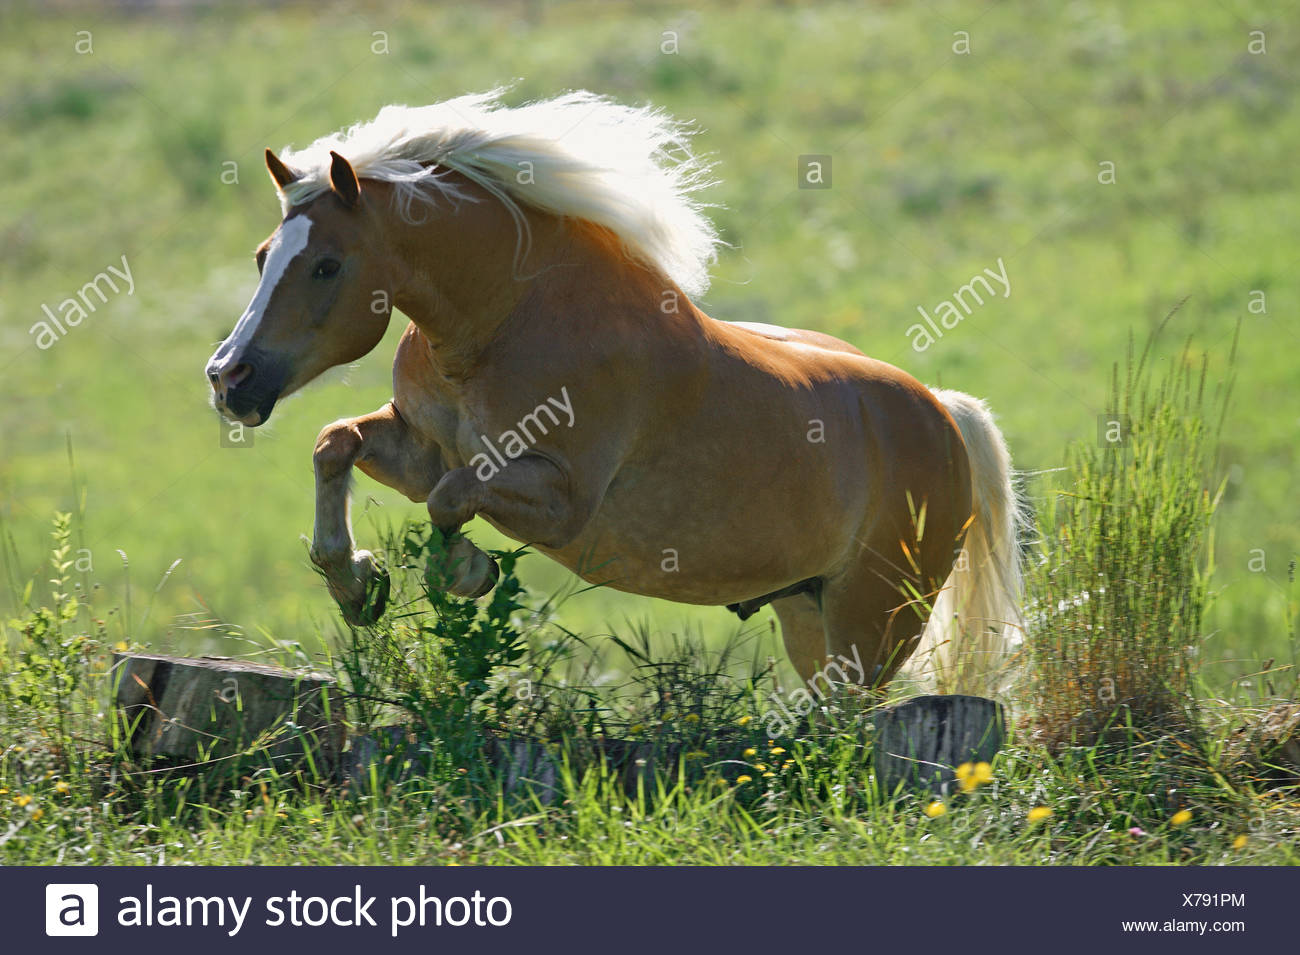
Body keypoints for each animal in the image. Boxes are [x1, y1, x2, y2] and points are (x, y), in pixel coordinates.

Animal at [204, 90, 1023, 695]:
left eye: (327, 265)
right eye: (262, 255)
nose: (229, 378)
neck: (506, 321)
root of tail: (943, 413)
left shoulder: (562, 500)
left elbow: (452, 498)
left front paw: (465, 572)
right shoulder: (419, 448)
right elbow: (336, 446)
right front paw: (356, 583)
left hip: (873, 624)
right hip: (807, 610)